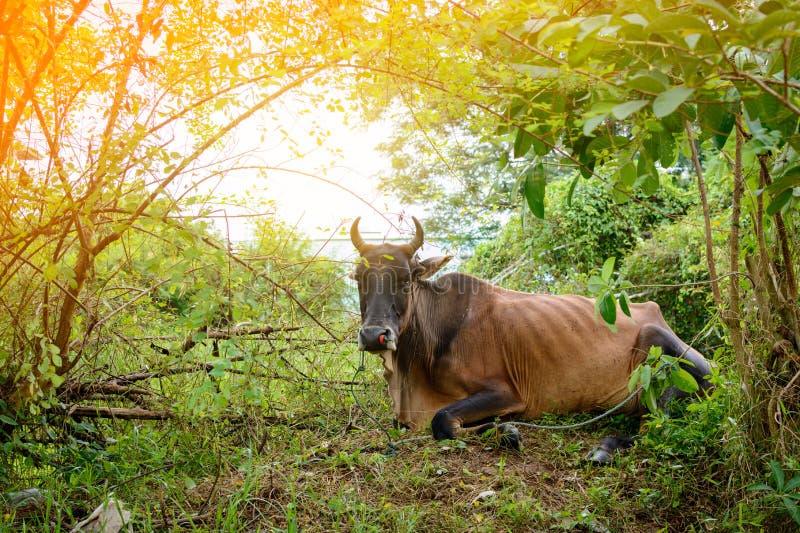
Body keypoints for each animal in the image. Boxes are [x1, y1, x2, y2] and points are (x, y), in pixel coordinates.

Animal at [349, 216, 714, 462]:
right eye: (358, 277)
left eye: (405, 279)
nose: (374, 335)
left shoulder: (506, 393)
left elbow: (442, 422)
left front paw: (506, 432)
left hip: (658, 346)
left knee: (657, 429)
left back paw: (604, 449)